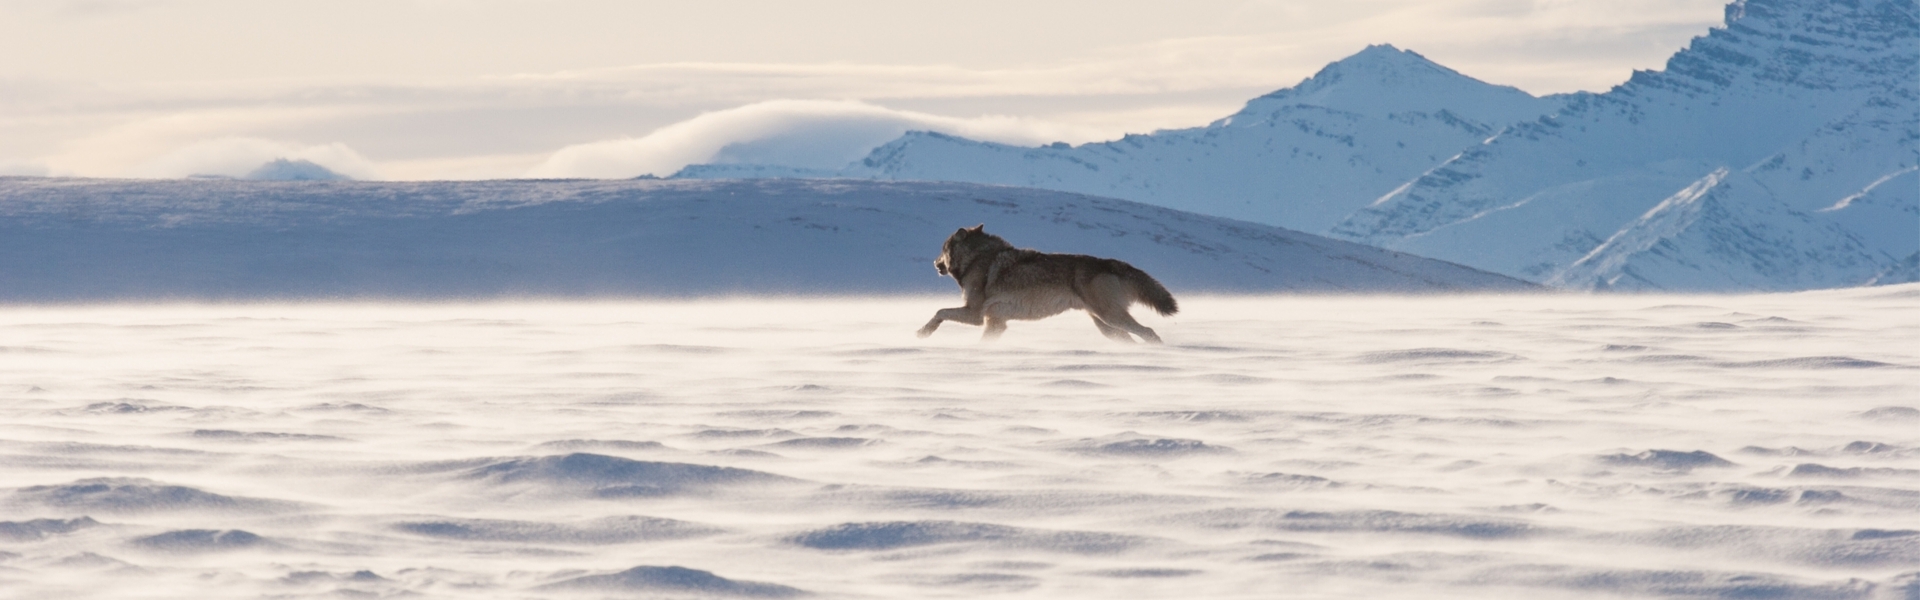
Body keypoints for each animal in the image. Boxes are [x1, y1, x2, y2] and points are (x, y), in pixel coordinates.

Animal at [916, 224, 1178, 343]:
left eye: (942, 250)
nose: (934, 263)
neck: (977, 259)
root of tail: (1112, 263)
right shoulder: (996, 322)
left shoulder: (975, 314)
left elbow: (939, 311)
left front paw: (923, 332)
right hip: (1106, 326)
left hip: (1111, 318)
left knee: (1149, 332)